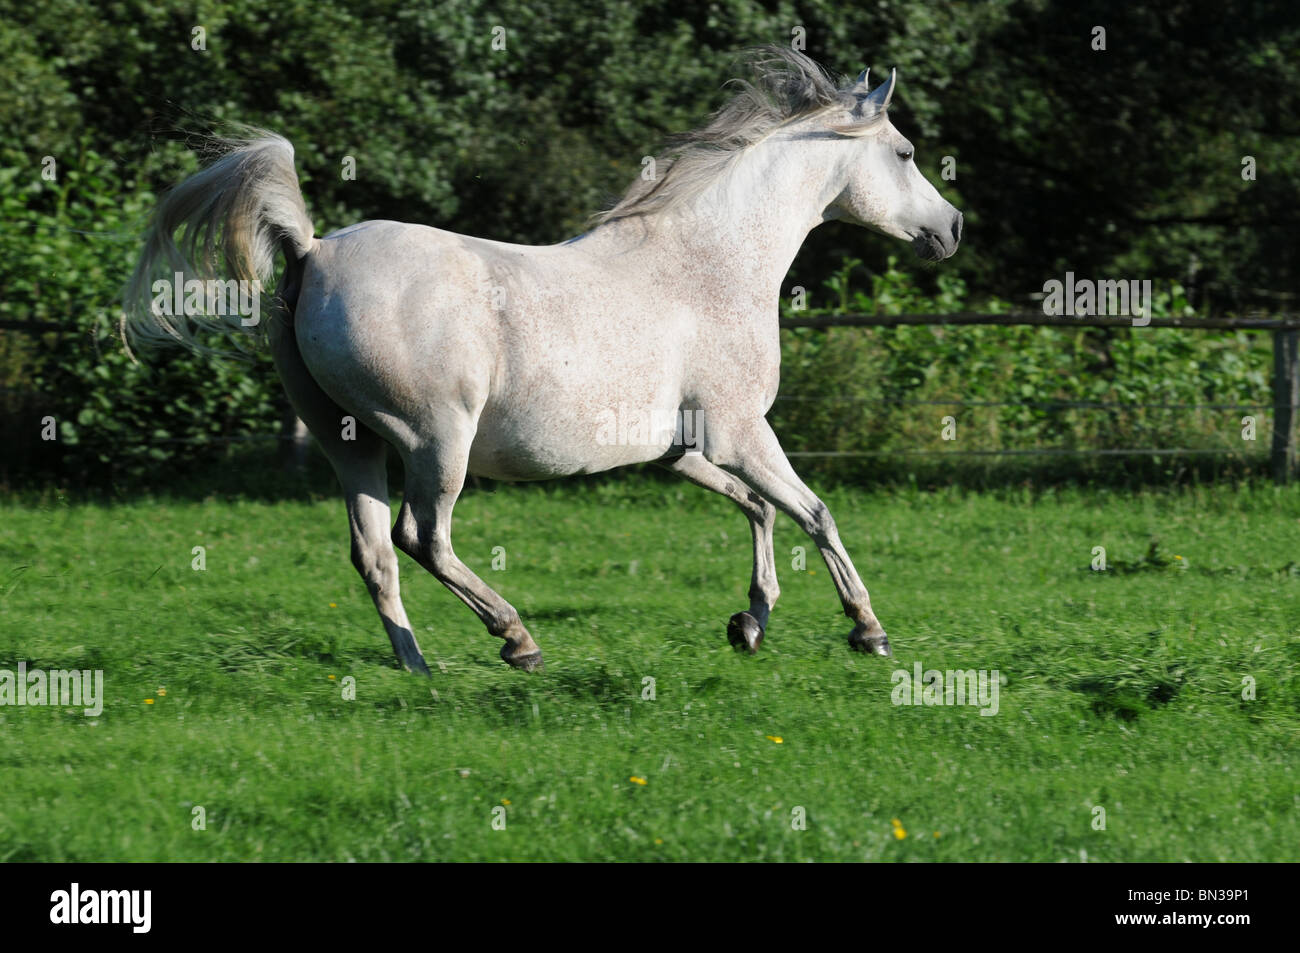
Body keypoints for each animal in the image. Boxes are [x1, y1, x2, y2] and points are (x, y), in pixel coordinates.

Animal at [123, 47, 962, 674]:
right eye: (906, 152)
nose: (951, 228)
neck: (708, 265)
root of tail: (313, 248)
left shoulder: (684, 449)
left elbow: (759, 508)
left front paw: (748, 622)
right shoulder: (740, 433)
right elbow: (814, 511)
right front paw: (866, 628)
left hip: (345, 440)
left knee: (373, 553)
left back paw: (417, 667)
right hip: (436, 440)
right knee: (420, 537)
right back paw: (516, 639)